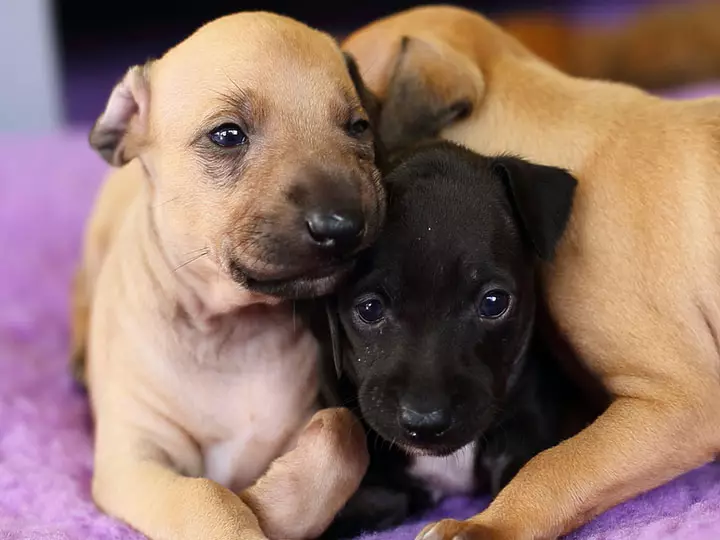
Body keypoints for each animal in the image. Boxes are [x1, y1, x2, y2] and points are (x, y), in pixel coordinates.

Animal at [71, 12, 388, 540]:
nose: (342, 227)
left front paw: (268, 503)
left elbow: (342, 437)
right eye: (226, 135)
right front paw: (245, 514)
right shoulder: (133, 460)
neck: (233, 333)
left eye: (358, 126)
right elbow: (205, 495)